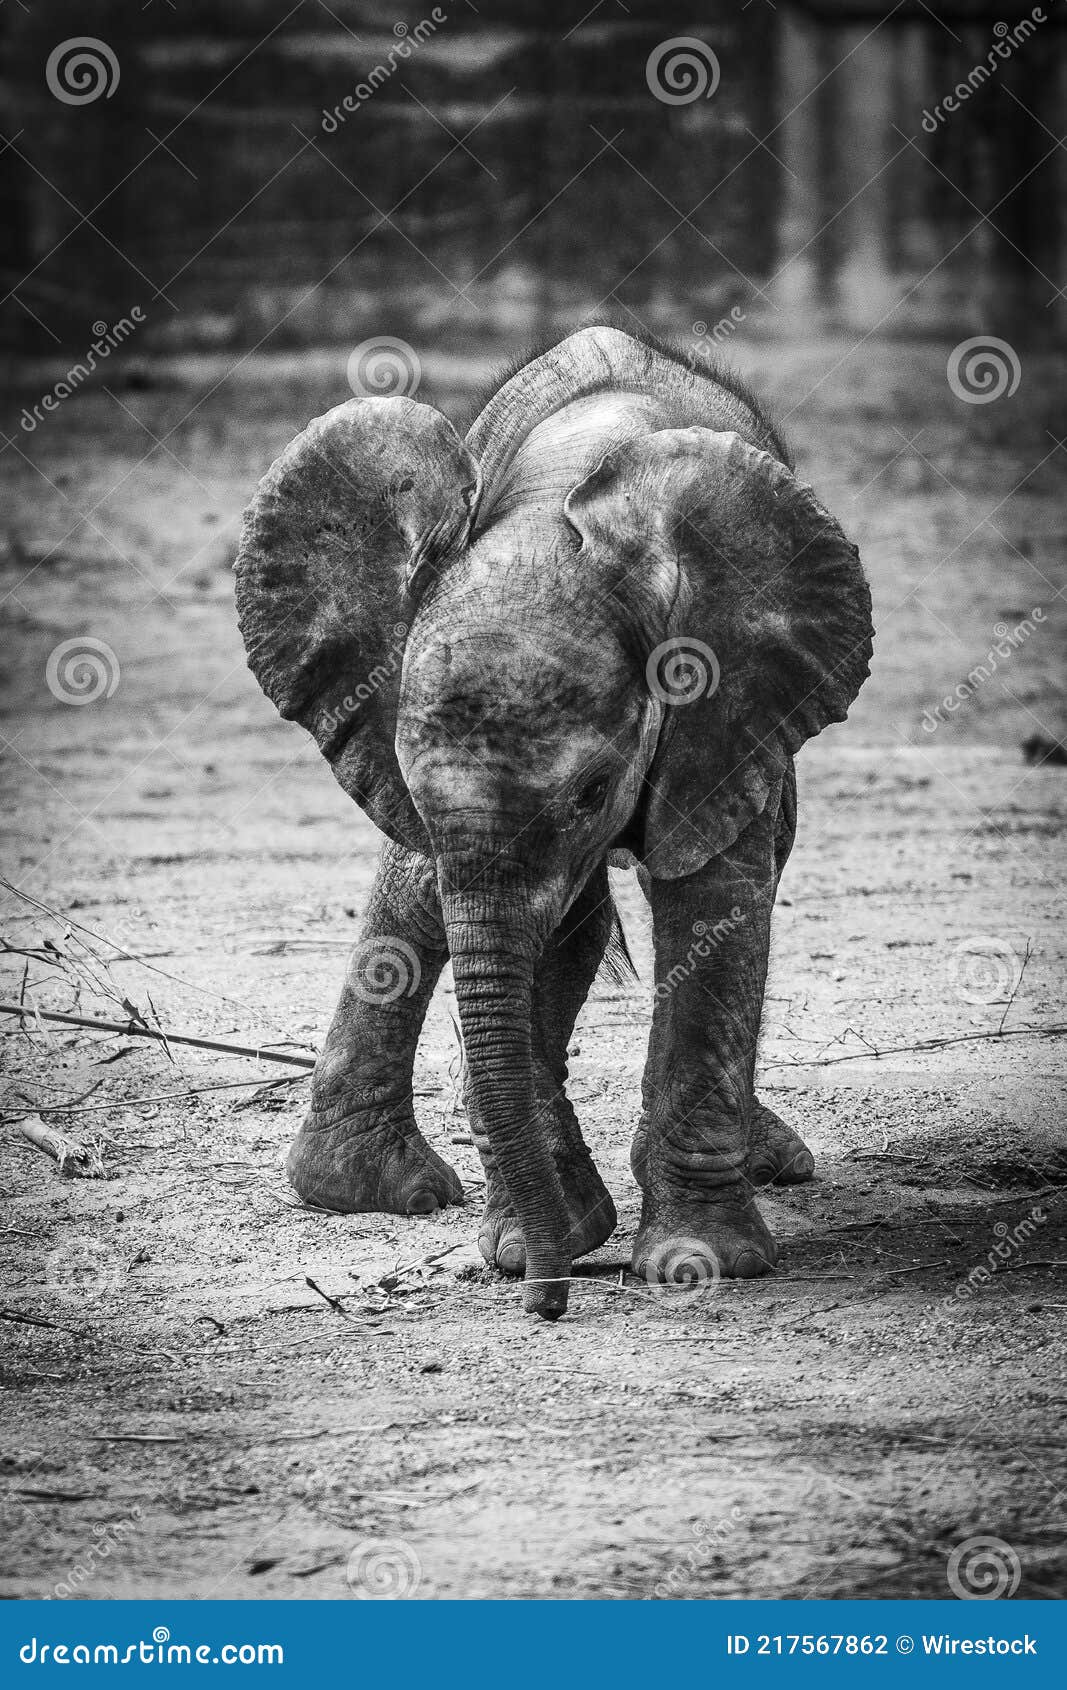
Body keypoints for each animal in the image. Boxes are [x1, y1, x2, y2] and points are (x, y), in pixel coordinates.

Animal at [234, 325, 873, 1320]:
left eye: (594, 790)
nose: (547, 1302)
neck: (549, 521)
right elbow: (532, 938)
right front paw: (543, 1245)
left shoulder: (727, 705)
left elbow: (715, 908)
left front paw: (697, 1263)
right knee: (432, 895)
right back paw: (378, 1193)